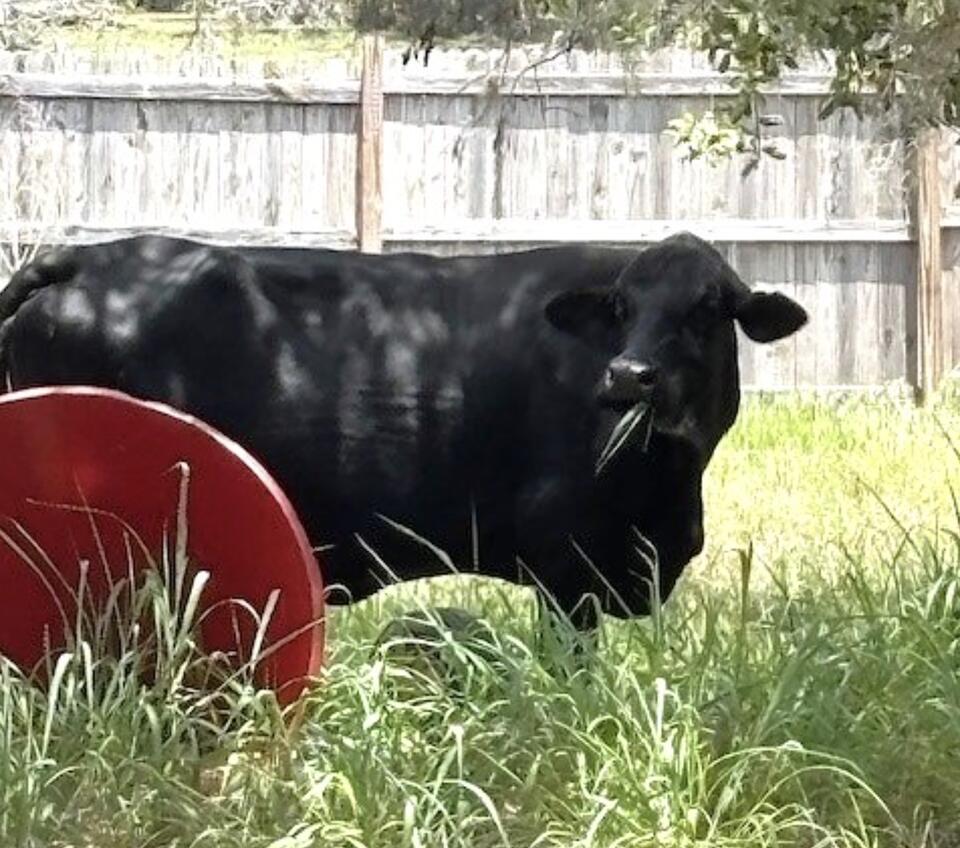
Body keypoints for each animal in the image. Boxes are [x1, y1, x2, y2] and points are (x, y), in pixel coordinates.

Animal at [0, 232, 806, 630]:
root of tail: (87, 255)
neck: (672, 489)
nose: (628, 375)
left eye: (708, 307)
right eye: (619, 307)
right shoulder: (565, 566)